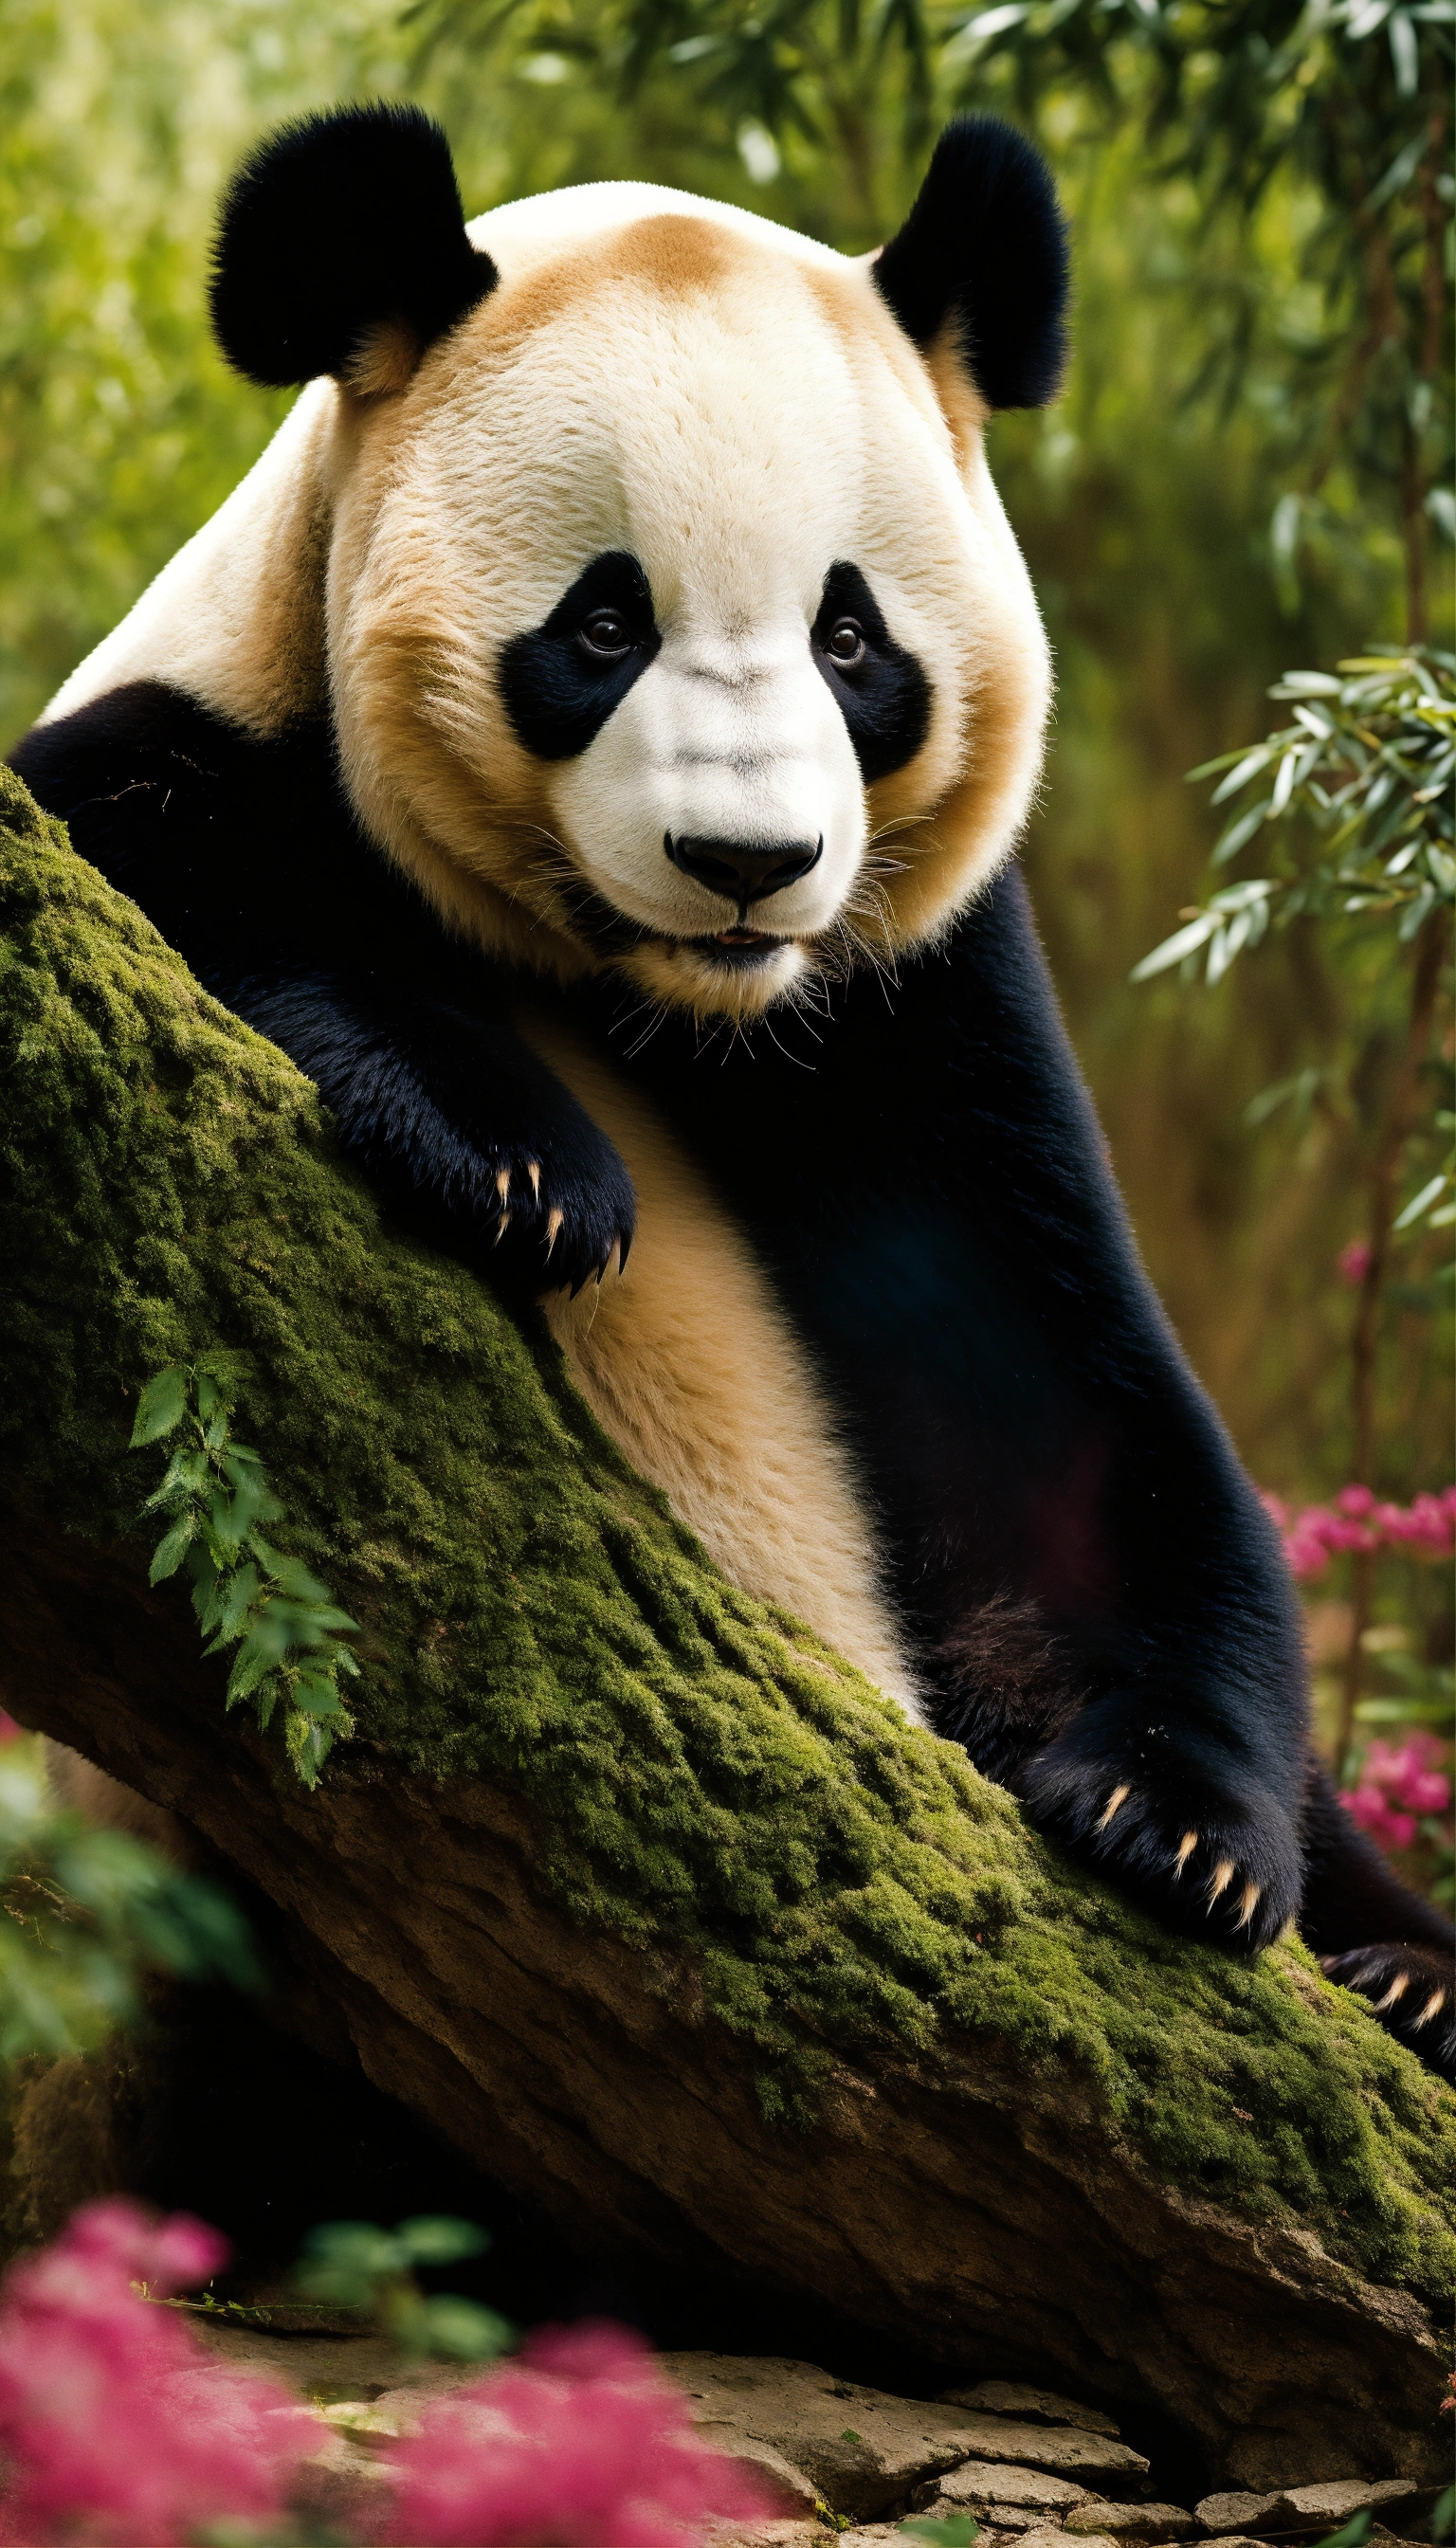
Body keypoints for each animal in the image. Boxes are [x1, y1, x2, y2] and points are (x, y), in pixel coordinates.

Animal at [13, 102, 1453, 2083]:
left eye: (854, 639)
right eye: (603, 621)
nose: (748, 862)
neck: (673, 1009)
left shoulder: (914, 1013)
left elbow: (1057, 1423)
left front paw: (1181, 1825)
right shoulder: (186, 748)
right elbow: (204, 858)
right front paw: (526, 1166)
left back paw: (1407, 1969)